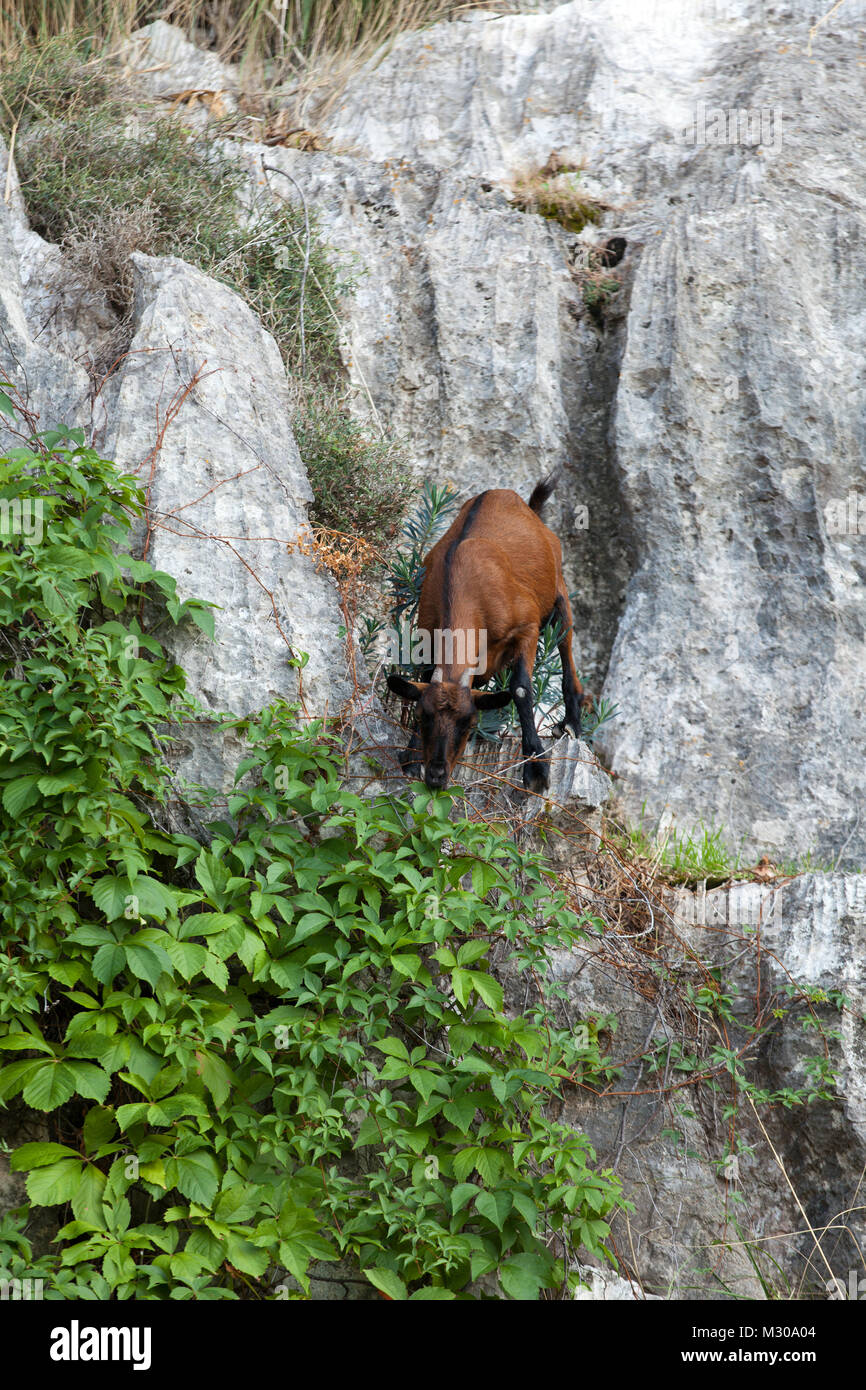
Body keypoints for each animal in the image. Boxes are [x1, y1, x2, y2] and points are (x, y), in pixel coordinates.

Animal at [387, 473, 591, 792]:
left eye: (469, 723)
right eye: (421, 717)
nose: (436, 776)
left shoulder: (527, 628)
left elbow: (520, 688)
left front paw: (535, 766)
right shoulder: (429, 639)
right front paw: (411, 755)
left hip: (560, 595)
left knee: (566, 646)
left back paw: (571, 722)